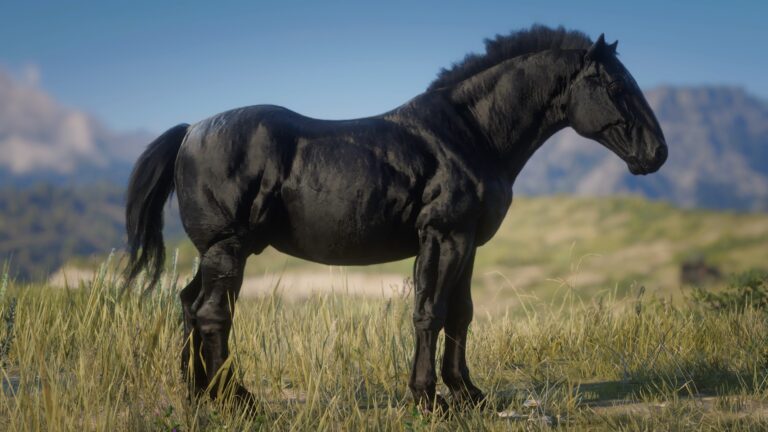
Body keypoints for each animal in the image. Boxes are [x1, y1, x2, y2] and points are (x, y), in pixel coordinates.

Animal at [124, 25, 667, 412]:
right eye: (614, 84)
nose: (657, 153)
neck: (468, 134)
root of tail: (190, 131)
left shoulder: (466, 241)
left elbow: (461, 313)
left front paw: (468, 395)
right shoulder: (443, 236)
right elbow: (430, 312)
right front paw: (427, 398)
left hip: (216, 253)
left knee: (190, 306)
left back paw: (200, 396)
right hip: (229, 248)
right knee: (213, 316)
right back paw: (239, 401)